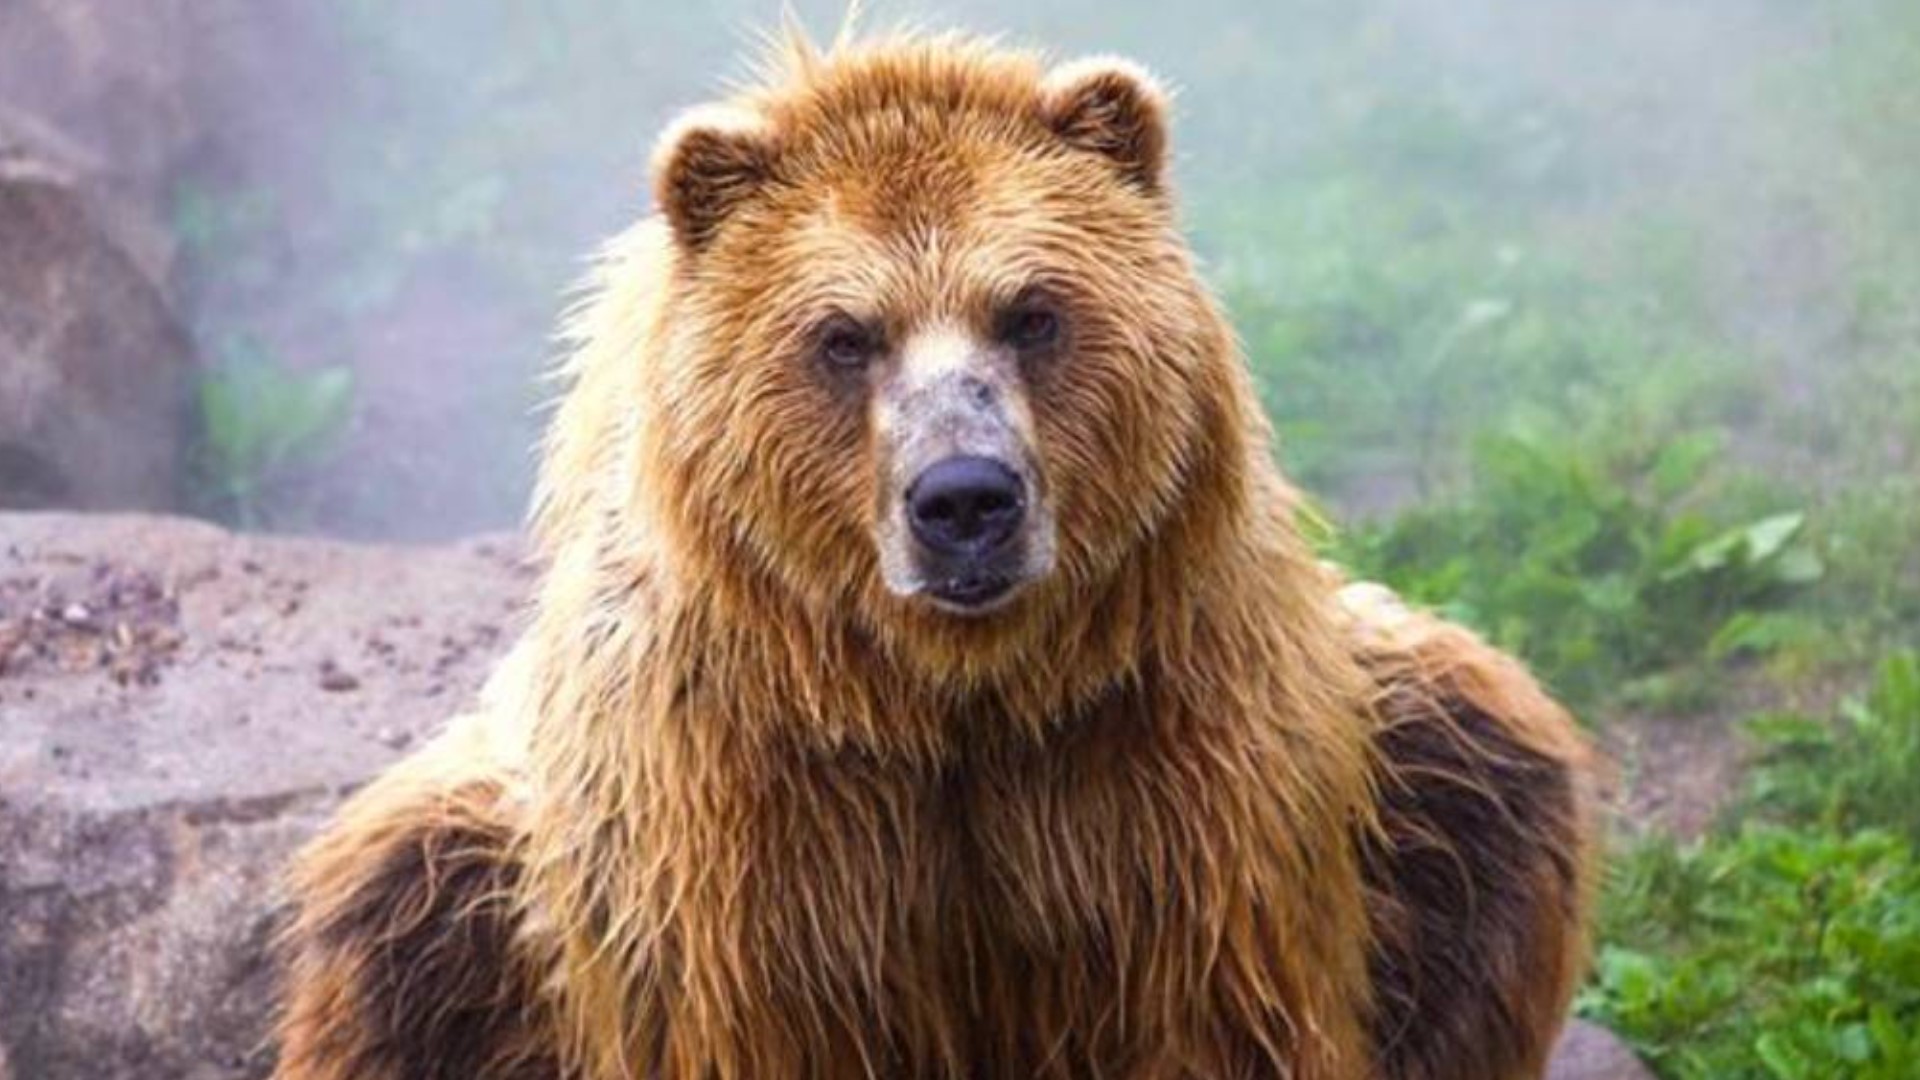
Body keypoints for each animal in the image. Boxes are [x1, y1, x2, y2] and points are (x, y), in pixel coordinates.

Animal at [272, 30, 1598, 1080]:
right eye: (843, 336)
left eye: (1034, 311)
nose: (964, 499)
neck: (944, 691)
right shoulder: (739, 814)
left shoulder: (1164, 759)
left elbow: (1212, 1001)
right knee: (396, 921)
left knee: (1490, 765)